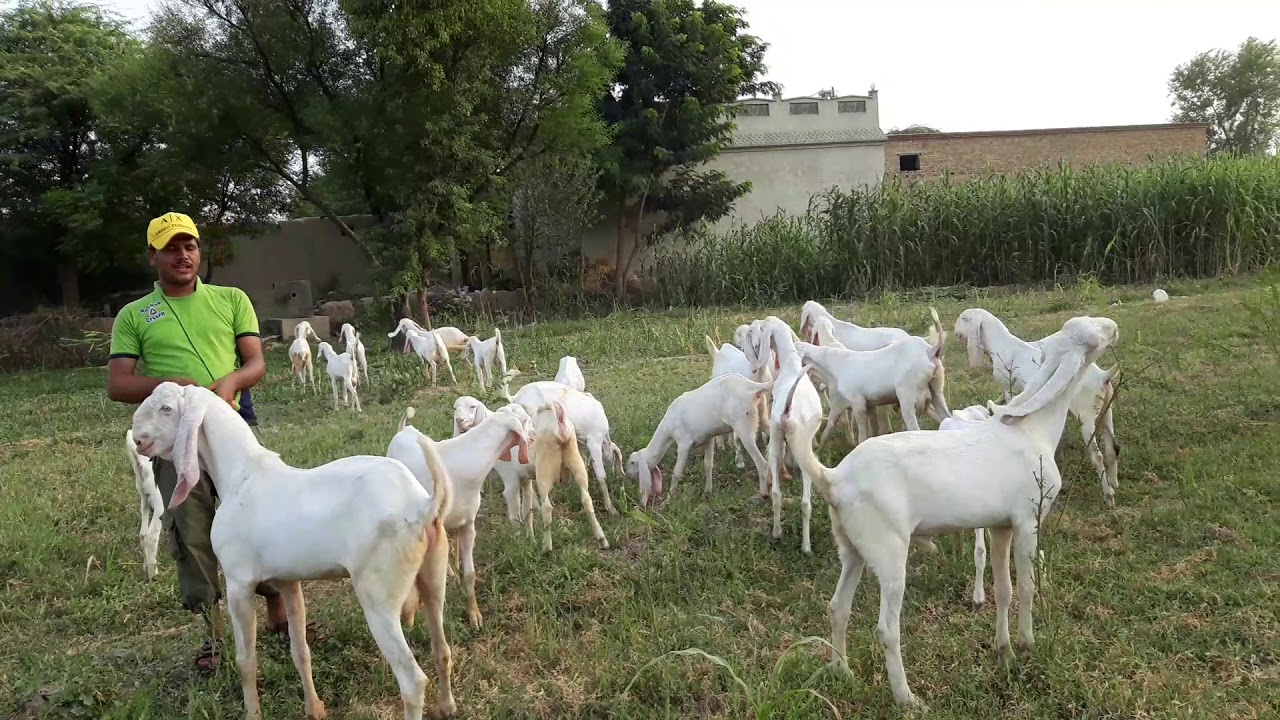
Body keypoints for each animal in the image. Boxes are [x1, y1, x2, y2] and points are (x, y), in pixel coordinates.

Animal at [124, 429, 164, 580]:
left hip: (144, 497)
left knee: (142, 534)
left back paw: (145, 568)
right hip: (160, 503)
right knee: (151, 536)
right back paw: (153, 574)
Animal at [130, 383, 456, 720]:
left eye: (166, 409)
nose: (138, 439)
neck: (241, 475)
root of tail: (420, 506)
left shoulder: (239, 584)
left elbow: (246, 661)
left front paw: (252, 714)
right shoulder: (289, 583)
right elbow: (300, 651)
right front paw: (314, 708)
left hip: (379, 599)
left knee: (412, 680)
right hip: (432, 577)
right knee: (443, 649)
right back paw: (447, 707)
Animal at [387, 405, 530, 628]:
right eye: (524, 420)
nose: (532, 436)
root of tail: (404, 429)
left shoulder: (468, 525)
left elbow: (470, 574)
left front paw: (474, 615)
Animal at [627, 372, 775, 507]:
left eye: (632, 462)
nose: (628, 476)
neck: (668, 426)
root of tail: (753, 386)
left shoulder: (684, 442)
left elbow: (677, 471)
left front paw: (667, 500)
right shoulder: (708, 438)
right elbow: (708, 465)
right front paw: (707, 492)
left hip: (743, 425)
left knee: (762, 464)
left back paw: (763, 494)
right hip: (762, 417)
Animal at [954, 308, 1121, 506]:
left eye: (964, 318)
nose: (956, 332)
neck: (1003, 344)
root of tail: (1103, 376)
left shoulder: (1009, 387)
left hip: (1086, 416)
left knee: (1098, 456)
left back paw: (1108, 496)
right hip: (1106, 412)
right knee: (1113, 448)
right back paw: (1115, 483)